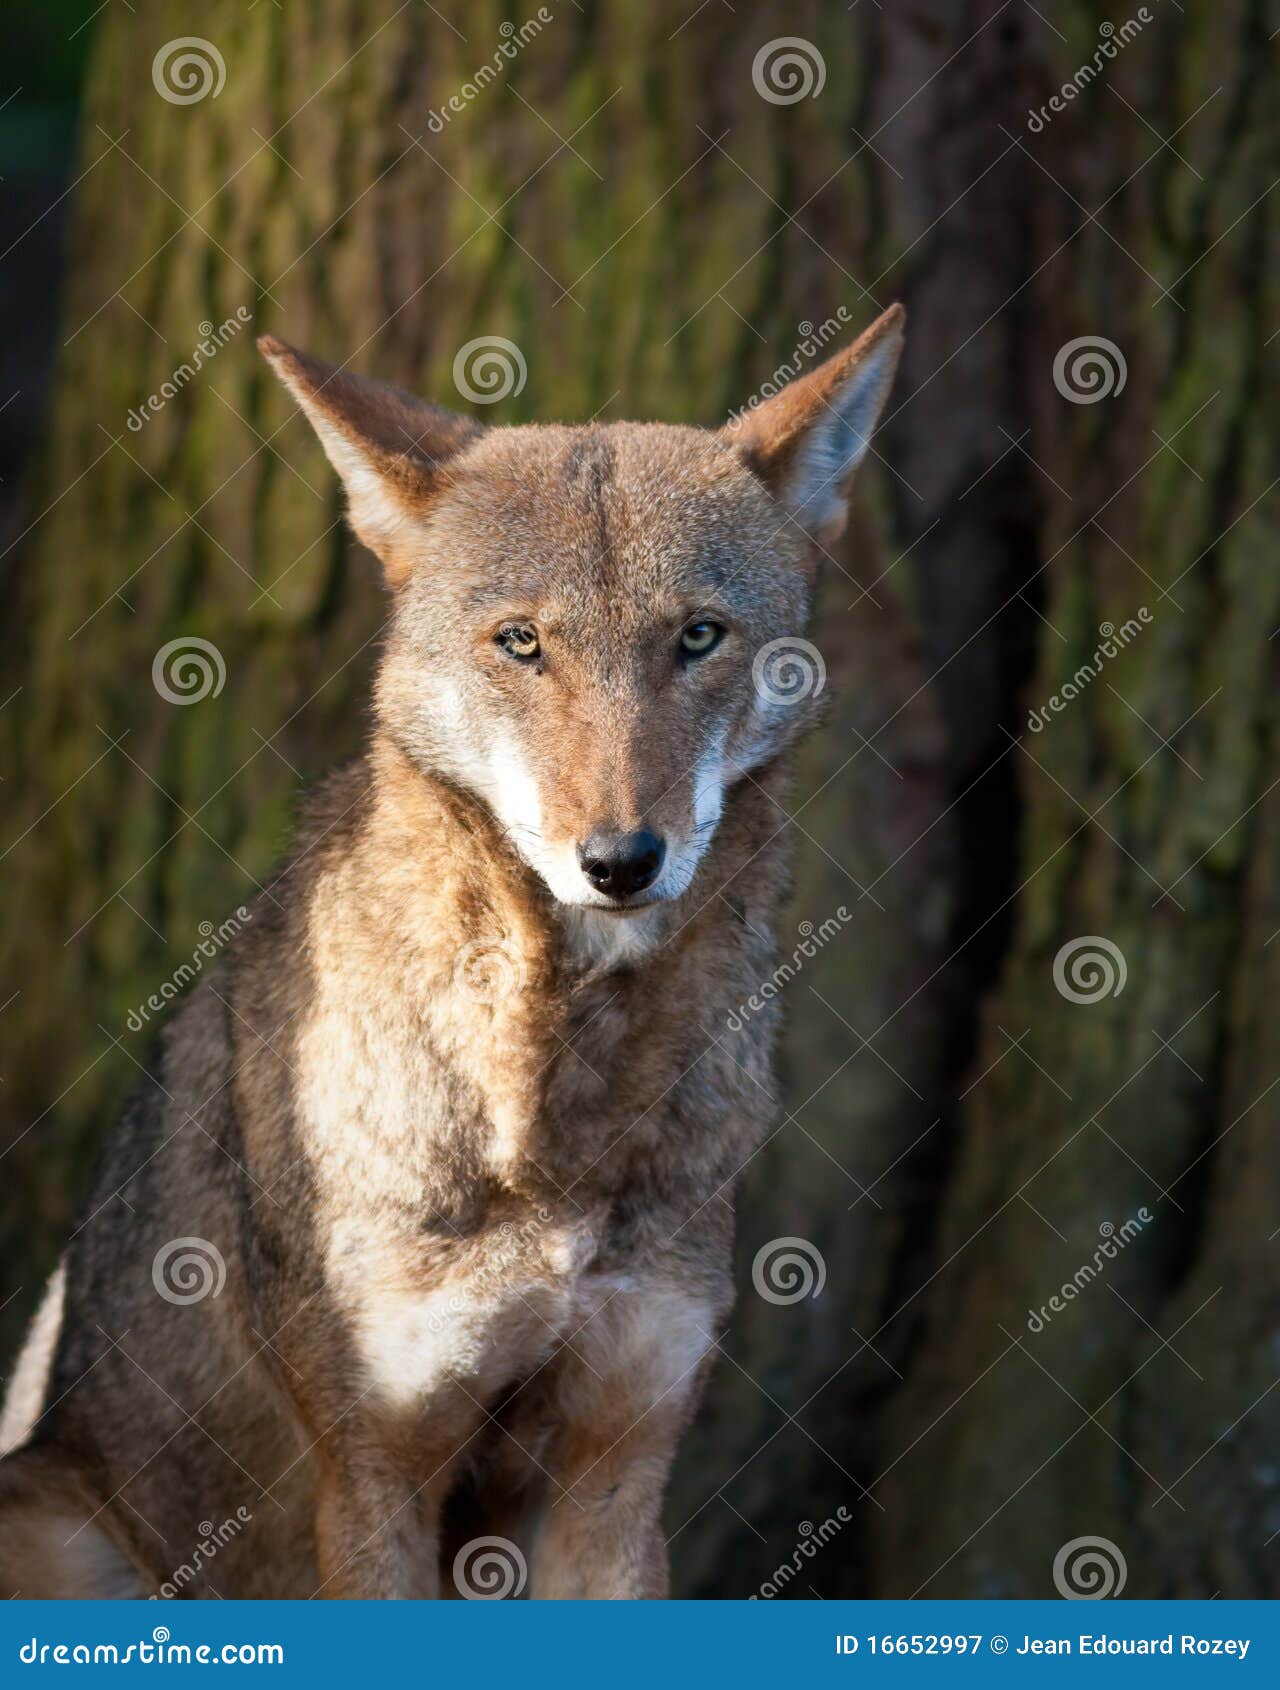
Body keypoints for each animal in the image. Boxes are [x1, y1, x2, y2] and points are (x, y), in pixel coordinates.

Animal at [0, 304, 903, 1598]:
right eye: (519, 643)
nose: (619, 859)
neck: (556, 1113)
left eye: (697, 637)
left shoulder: (614, 1477)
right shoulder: (374, 1479)